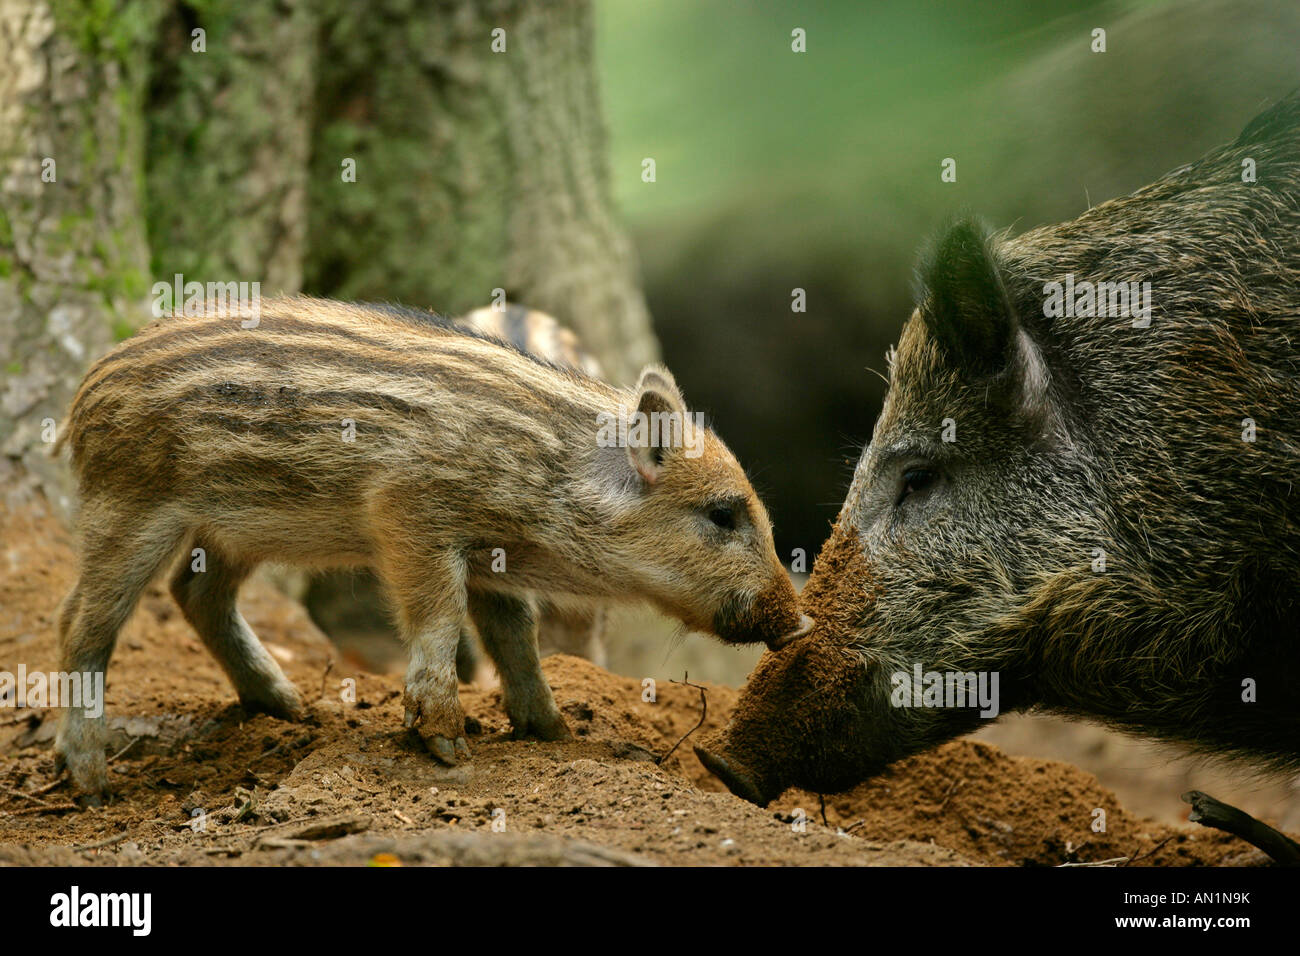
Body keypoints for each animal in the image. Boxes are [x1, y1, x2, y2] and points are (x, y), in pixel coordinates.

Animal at [53, 295, 811, 799]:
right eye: (722, 514)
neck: (552, 477)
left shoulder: (494, 559)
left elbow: (514, 633)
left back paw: (288, 707)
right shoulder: (409, 515)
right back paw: (89, 779)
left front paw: (552, 732)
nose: (802, 621)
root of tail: (84, 389)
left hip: (237, 527)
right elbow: (441, 618)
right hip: (130, 506)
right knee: (81, 622)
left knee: (194, 593)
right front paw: (449, 748)